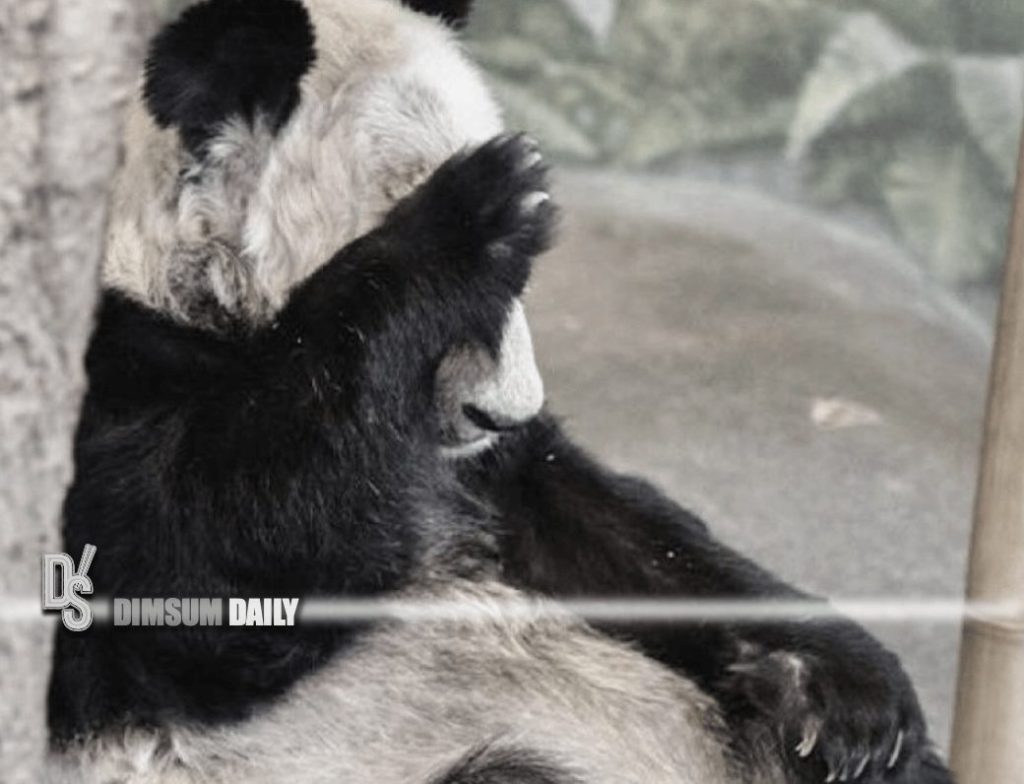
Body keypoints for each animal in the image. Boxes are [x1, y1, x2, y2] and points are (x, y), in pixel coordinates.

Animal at [47, 1, 953, 783]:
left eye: (528, 271)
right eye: (488, 279)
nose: (502, 411)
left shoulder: (473, 458)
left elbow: (597, 525)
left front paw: (843, 690)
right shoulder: (113, 375)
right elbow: (203, 569)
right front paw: (459, 219)